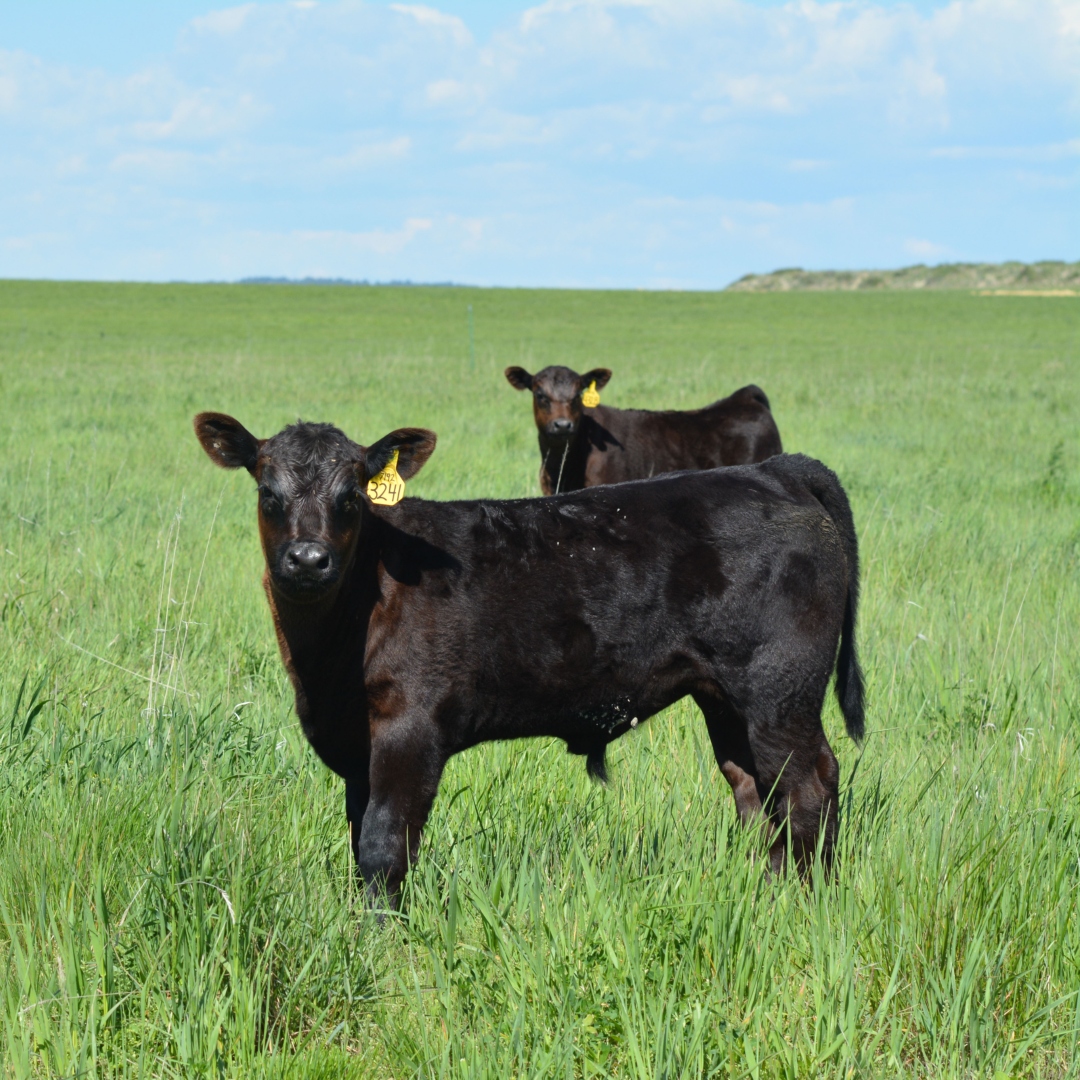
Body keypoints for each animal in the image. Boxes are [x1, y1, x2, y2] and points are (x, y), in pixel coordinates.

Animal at [194, 410, 863, 909]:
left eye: (352, 496)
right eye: (268, 492)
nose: (308, 559)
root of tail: (772, 470)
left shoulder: (412, 727)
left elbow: (385, 846)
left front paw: (380, 941)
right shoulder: (356, 744)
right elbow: (361, 839)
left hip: (779, 691)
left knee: (809, 784)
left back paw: (809, 900)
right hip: (724, 697)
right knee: (755, 789)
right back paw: (765, 892)